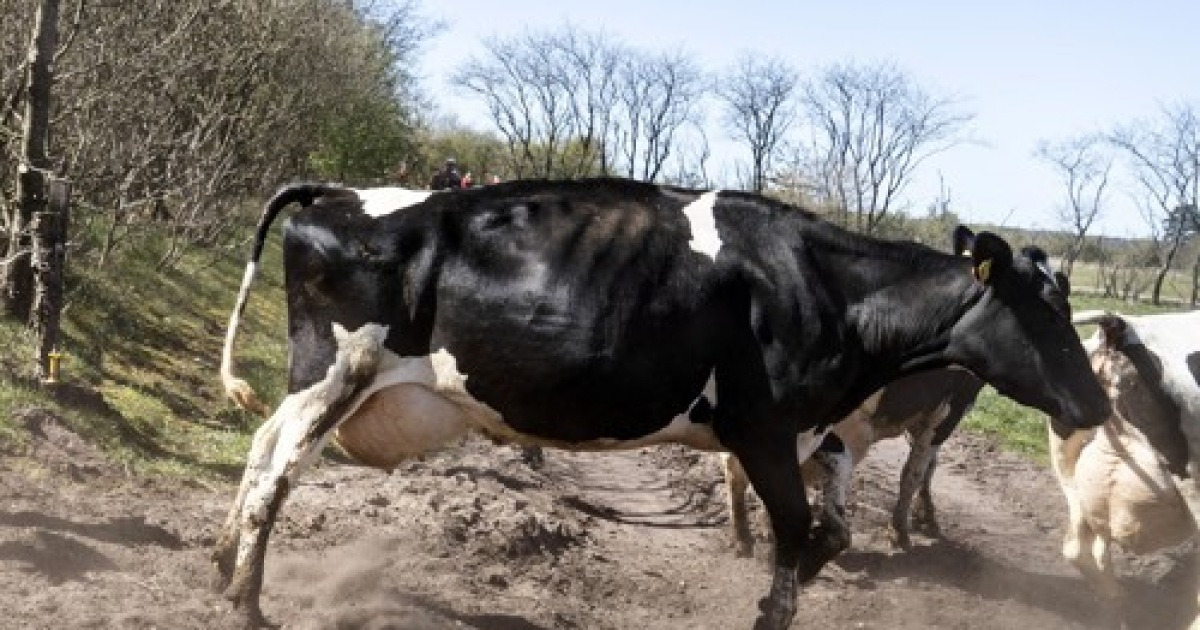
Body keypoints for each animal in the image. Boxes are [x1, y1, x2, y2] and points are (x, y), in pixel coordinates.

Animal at [723, 367, 984, 557]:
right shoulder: (952, 405)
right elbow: (914, 472)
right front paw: (900, 531)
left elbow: (928, 466)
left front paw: (925, 515)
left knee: (735, 468)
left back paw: (744, 537)